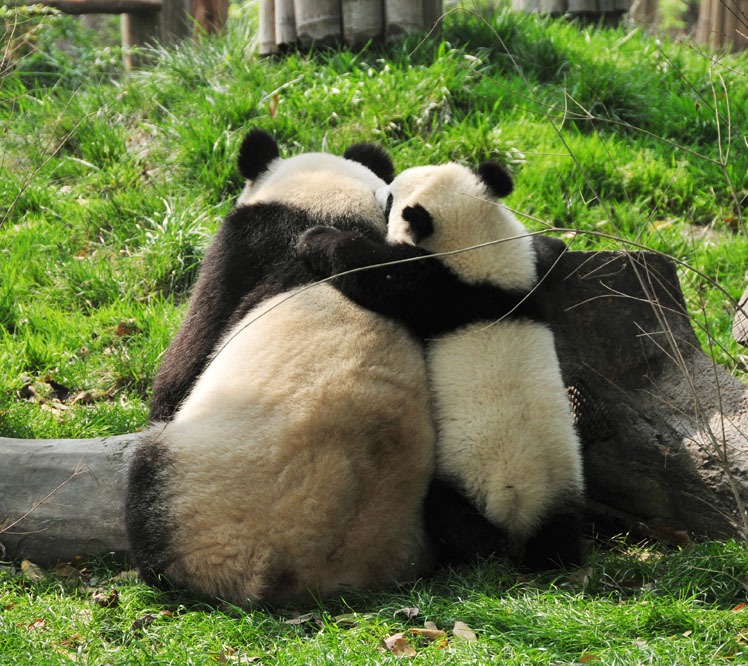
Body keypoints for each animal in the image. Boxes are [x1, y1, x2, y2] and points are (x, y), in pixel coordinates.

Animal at [126, 130, 436, 608]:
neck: (327, 205)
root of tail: (303, 571)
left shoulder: (241, 249)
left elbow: (191, 351)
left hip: (205, 488)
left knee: (149, 480)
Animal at [296, 161, 585, 571]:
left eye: (390, 199)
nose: (376, 193)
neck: (482, 253)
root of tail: (519, 508)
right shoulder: (524, 277)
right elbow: (547, 255)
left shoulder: (438, 290)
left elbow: (376, 276)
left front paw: (316, 238)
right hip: (564, 488)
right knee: (563, 532)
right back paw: (563, 563)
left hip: (466, 480)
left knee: (447, 514)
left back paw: (481, 550)